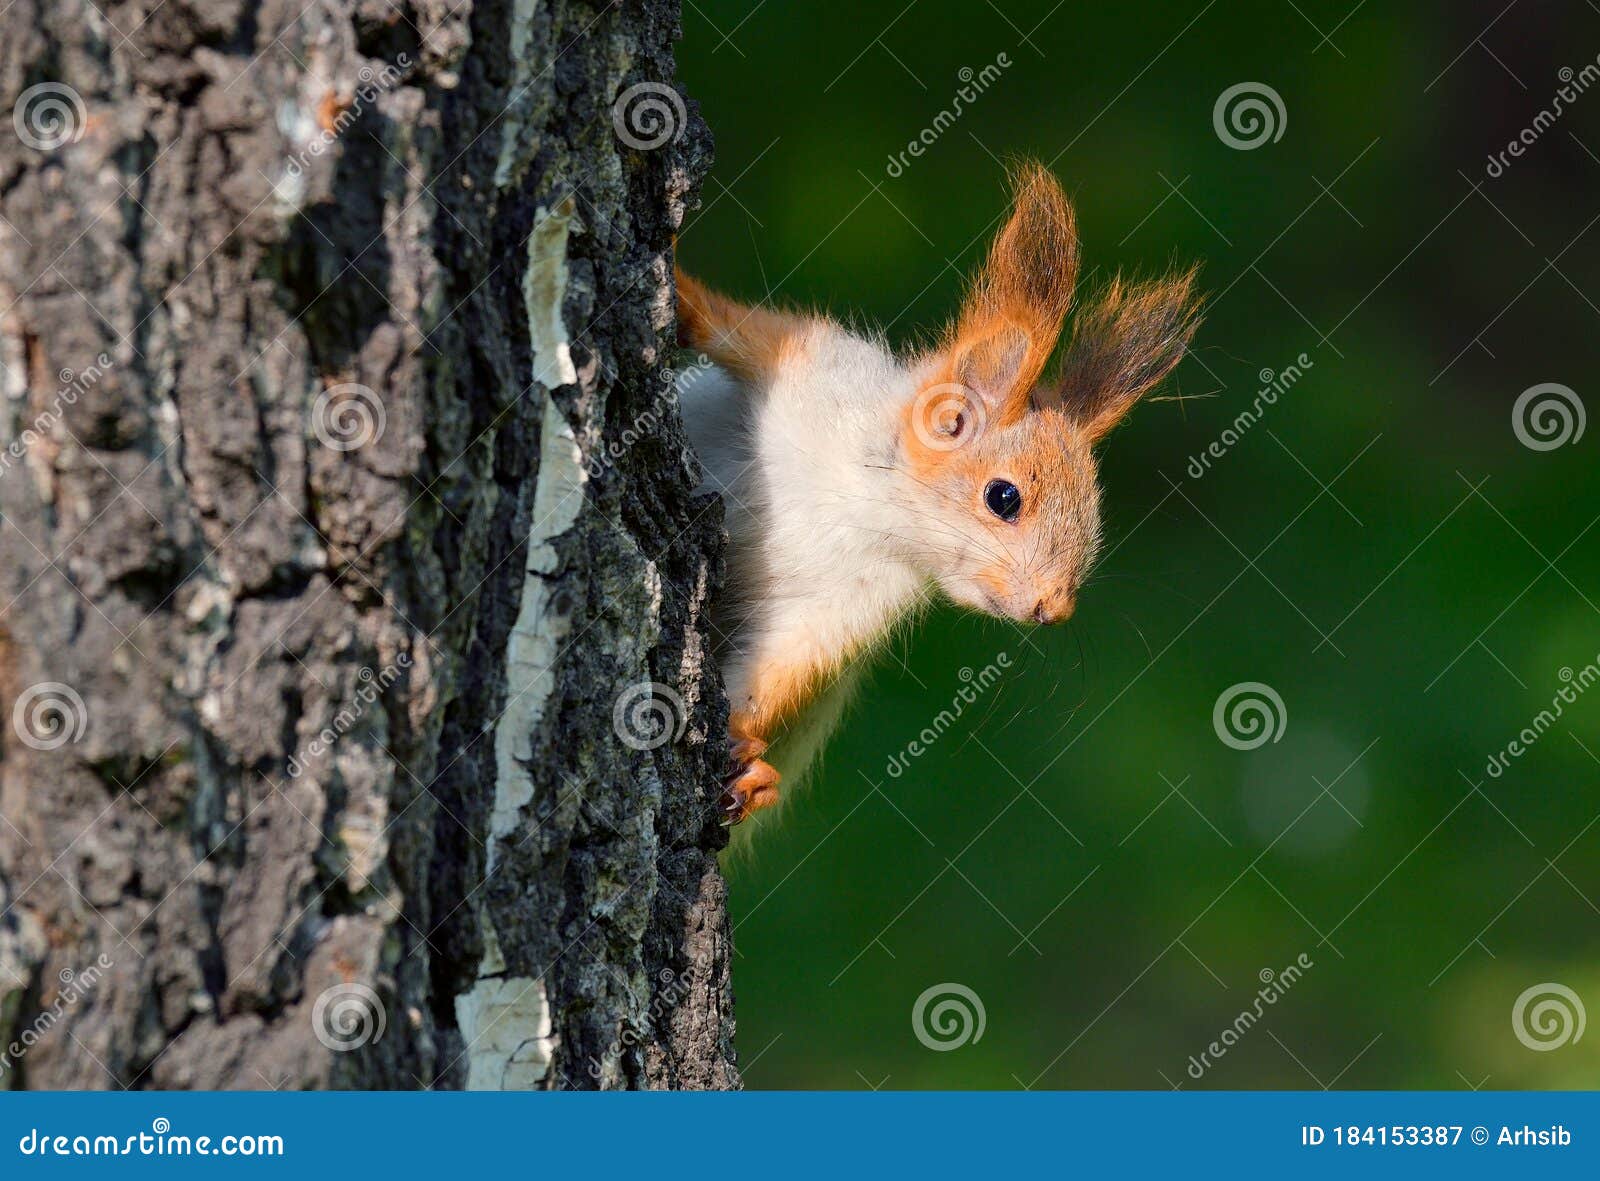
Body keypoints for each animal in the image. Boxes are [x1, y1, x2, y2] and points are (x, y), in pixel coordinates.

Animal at [675, 162, 1201, 825]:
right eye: (1004, 498)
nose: (1055, 608)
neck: (870, 506)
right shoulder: (806, 363)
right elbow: (737, 330)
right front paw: (677, 288)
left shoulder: (848, 603)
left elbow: (778, 665)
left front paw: (744, 748)